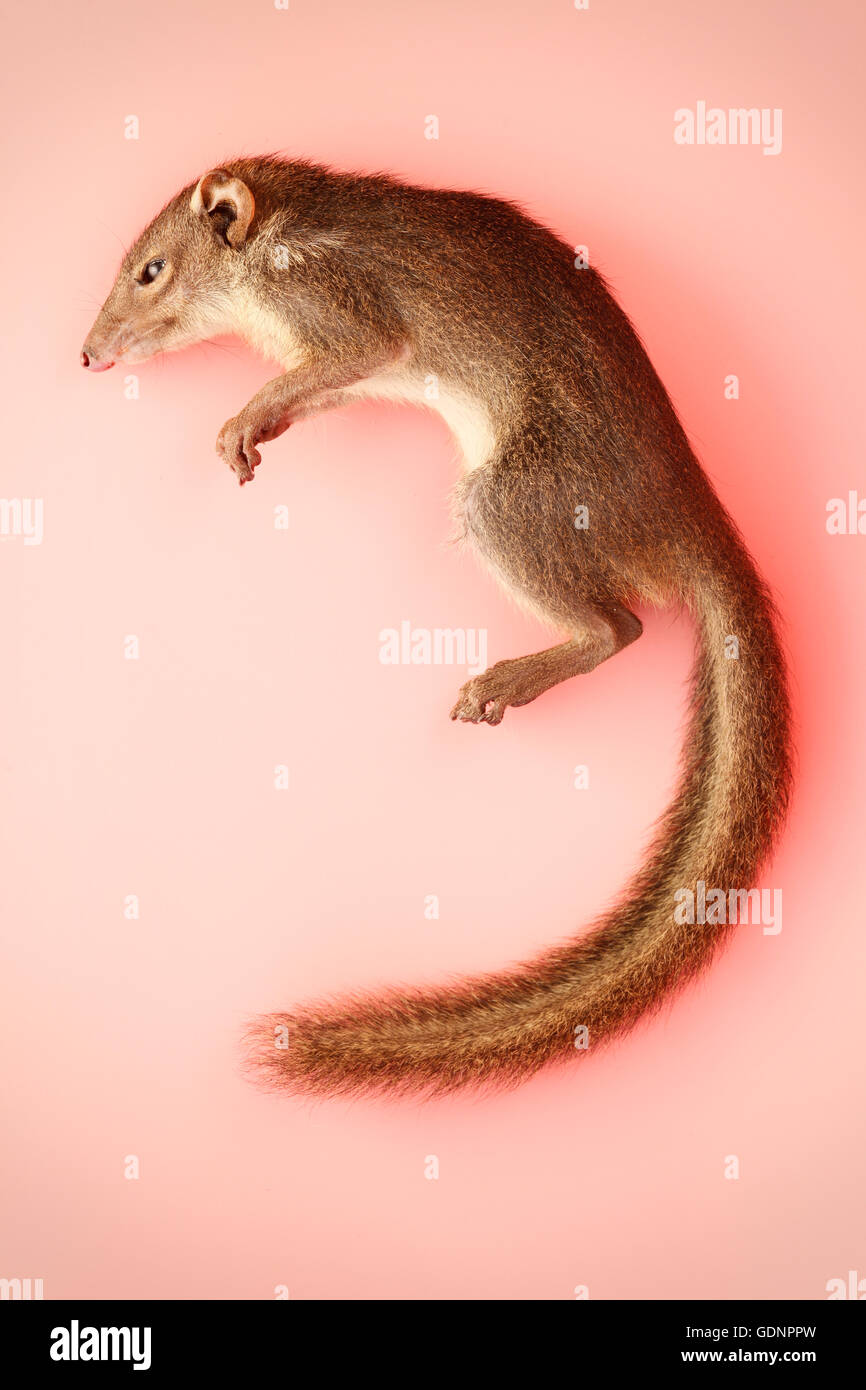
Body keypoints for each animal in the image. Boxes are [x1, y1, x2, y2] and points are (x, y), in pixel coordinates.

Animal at [82, 156, 792, 1098]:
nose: (87, 353)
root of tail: (694, 519)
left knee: (619, 629)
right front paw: (262, 425)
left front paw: (241, 416)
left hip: (509, 500)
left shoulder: (341, 308)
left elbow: (341, 357)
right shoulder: (336, 369)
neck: (275, 238)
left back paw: (506, 682)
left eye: (151, 270)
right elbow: (312, 394)